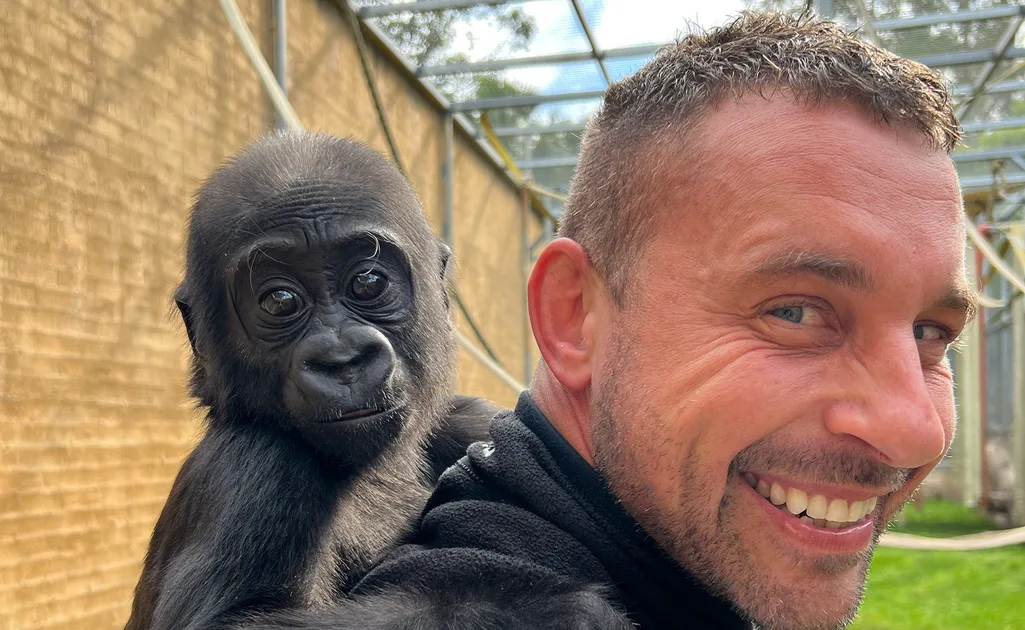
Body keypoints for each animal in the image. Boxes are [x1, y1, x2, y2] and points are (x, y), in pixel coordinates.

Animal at [123, 130, 503, 630]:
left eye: (368, 283)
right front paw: (515, 593)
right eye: (280, 301)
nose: (341, 360)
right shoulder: (254, 467)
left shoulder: (467, 419)